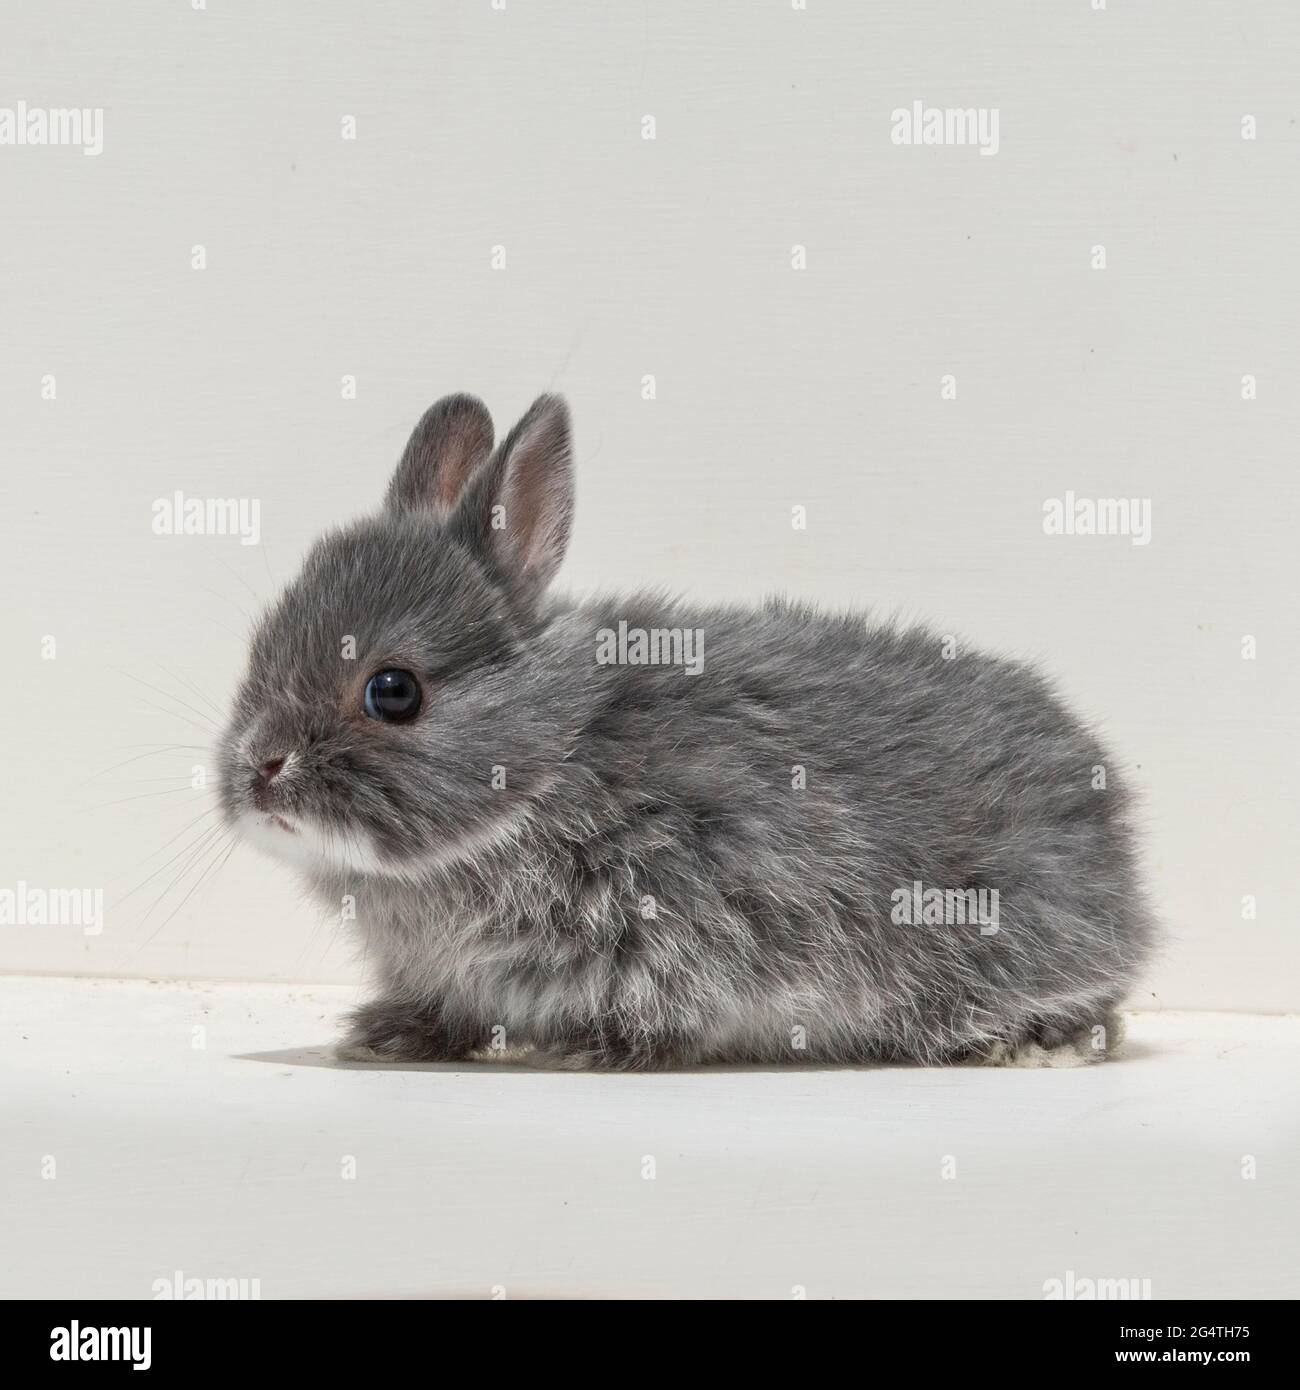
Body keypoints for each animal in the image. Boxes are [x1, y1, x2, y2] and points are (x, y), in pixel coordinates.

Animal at [219, 392, 1155, 1070]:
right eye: (260, 648)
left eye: (393, 691)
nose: (258, 771)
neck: (554, 757)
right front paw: (390, 1034)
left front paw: (587, 1050)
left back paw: (1028, 1045)